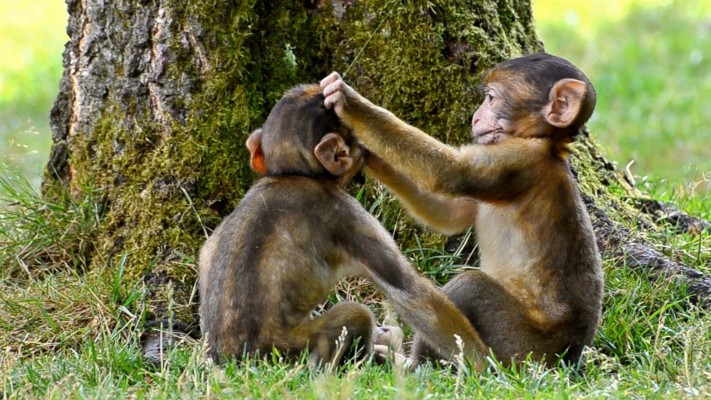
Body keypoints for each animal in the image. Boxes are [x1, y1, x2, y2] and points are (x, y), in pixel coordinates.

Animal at [198, 84, 486, 367]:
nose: (363, 150)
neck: (294, 175)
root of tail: (230, 358)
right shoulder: (344, 213)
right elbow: (408, 289)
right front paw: (483, 363)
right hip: (290, 352)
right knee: (355, 313)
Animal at [321, 53, 604, 367]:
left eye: (491, 98)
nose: (475, 117)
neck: (545, 144)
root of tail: (568, 354)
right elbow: (450, 215)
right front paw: (367, 155)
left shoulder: (519, 161)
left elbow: (448, 173)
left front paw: (349, 101)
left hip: (521, 346)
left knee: (471, 286)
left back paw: (415, 366)